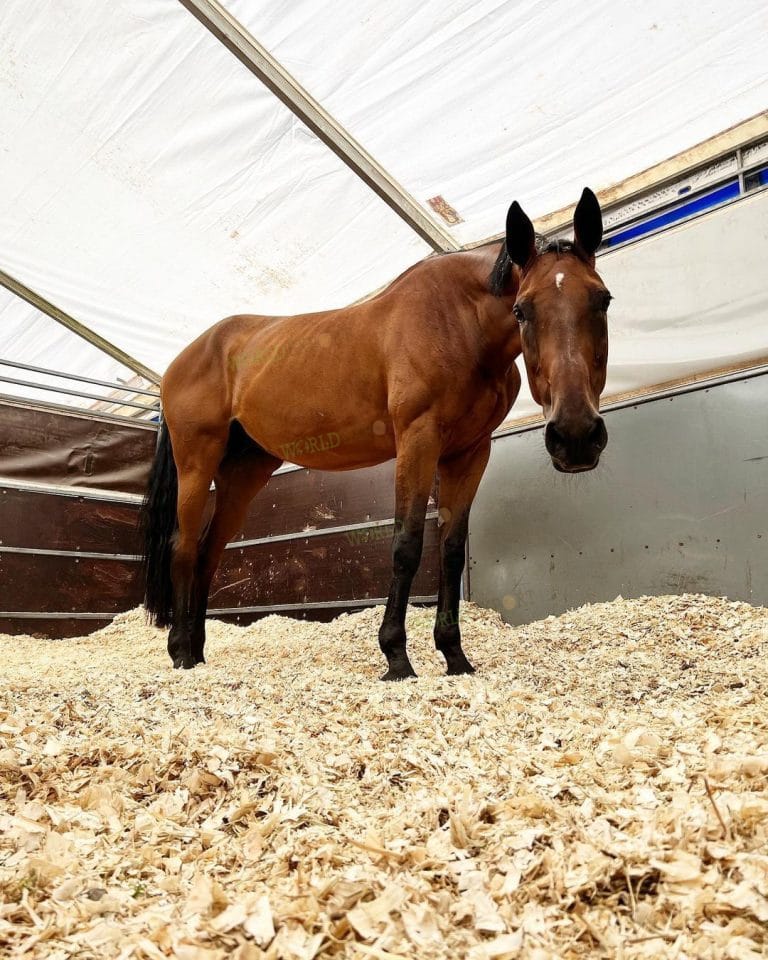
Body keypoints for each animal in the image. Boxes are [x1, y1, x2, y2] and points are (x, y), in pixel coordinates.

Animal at [141, 188, 611, 679]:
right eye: (522, 309)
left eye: (603, 300)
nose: (576, 434)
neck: (458, 321)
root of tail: (182, 361)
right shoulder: (418, 441)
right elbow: (406, 543)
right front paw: (397, 657)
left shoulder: (468, 453)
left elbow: (450, 549)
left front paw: (455, 657)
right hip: (197, 463)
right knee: (184, 548)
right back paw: (180, 653)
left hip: (244, 472)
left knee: (209, 553)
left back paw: (197, 654)